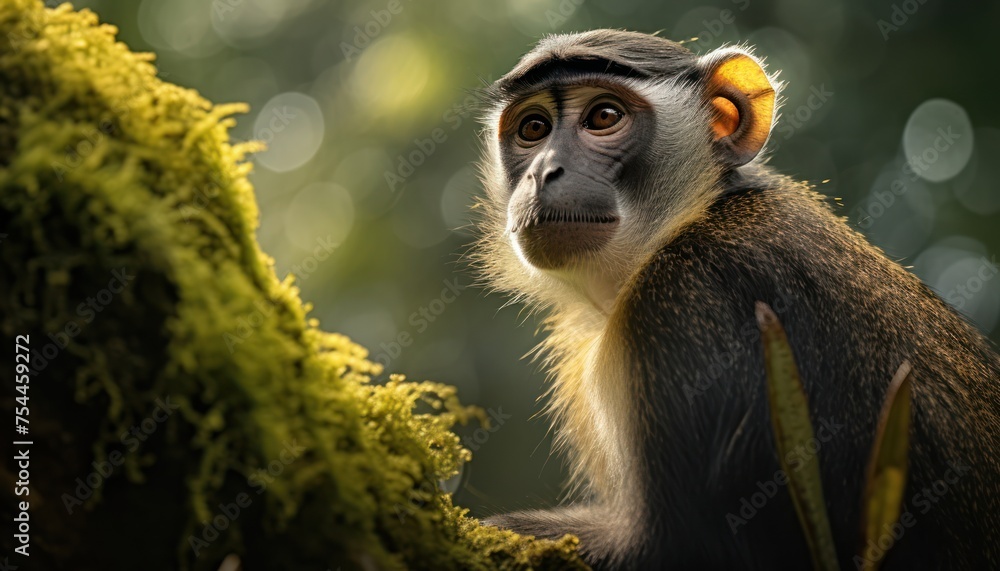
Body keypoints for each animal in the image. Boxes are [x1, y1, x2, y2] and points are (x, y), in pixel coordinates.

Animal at [472, 30, 1000, 570]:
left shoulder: (687, 298)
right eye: (534, 128)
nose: (544, 172)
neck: (692, 215)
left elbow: (675, 546)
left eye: (603, 117)